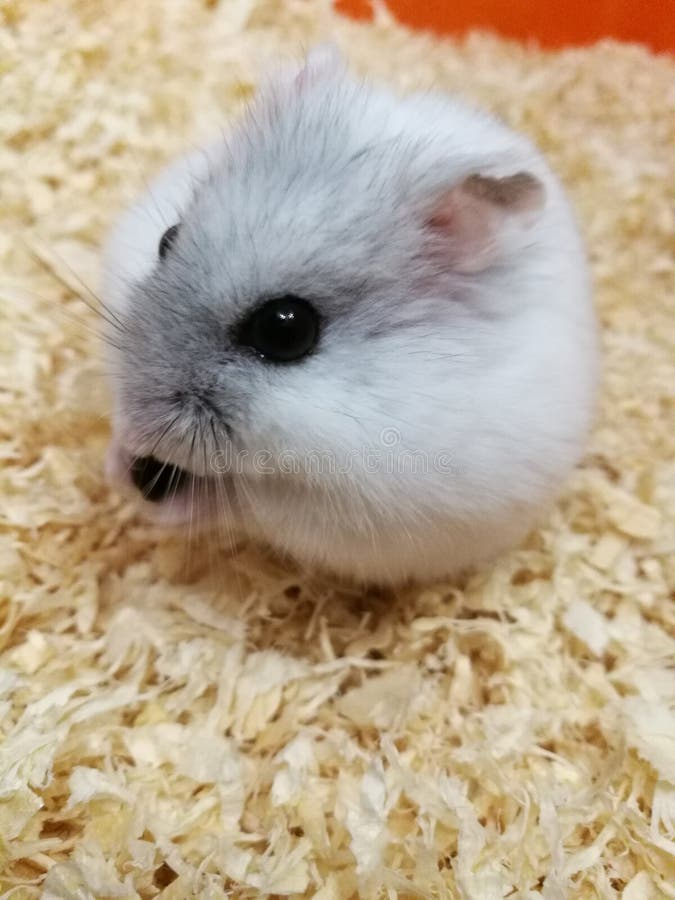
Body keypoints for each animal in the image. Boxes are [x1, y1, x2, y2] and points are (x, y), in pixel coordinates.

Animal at [103, 46, 598, 585]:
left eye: (286, 329)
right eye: (167, 239)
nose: (135, 425)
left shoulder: (342, 511)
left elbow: (245, 503)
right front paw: (117, 463)